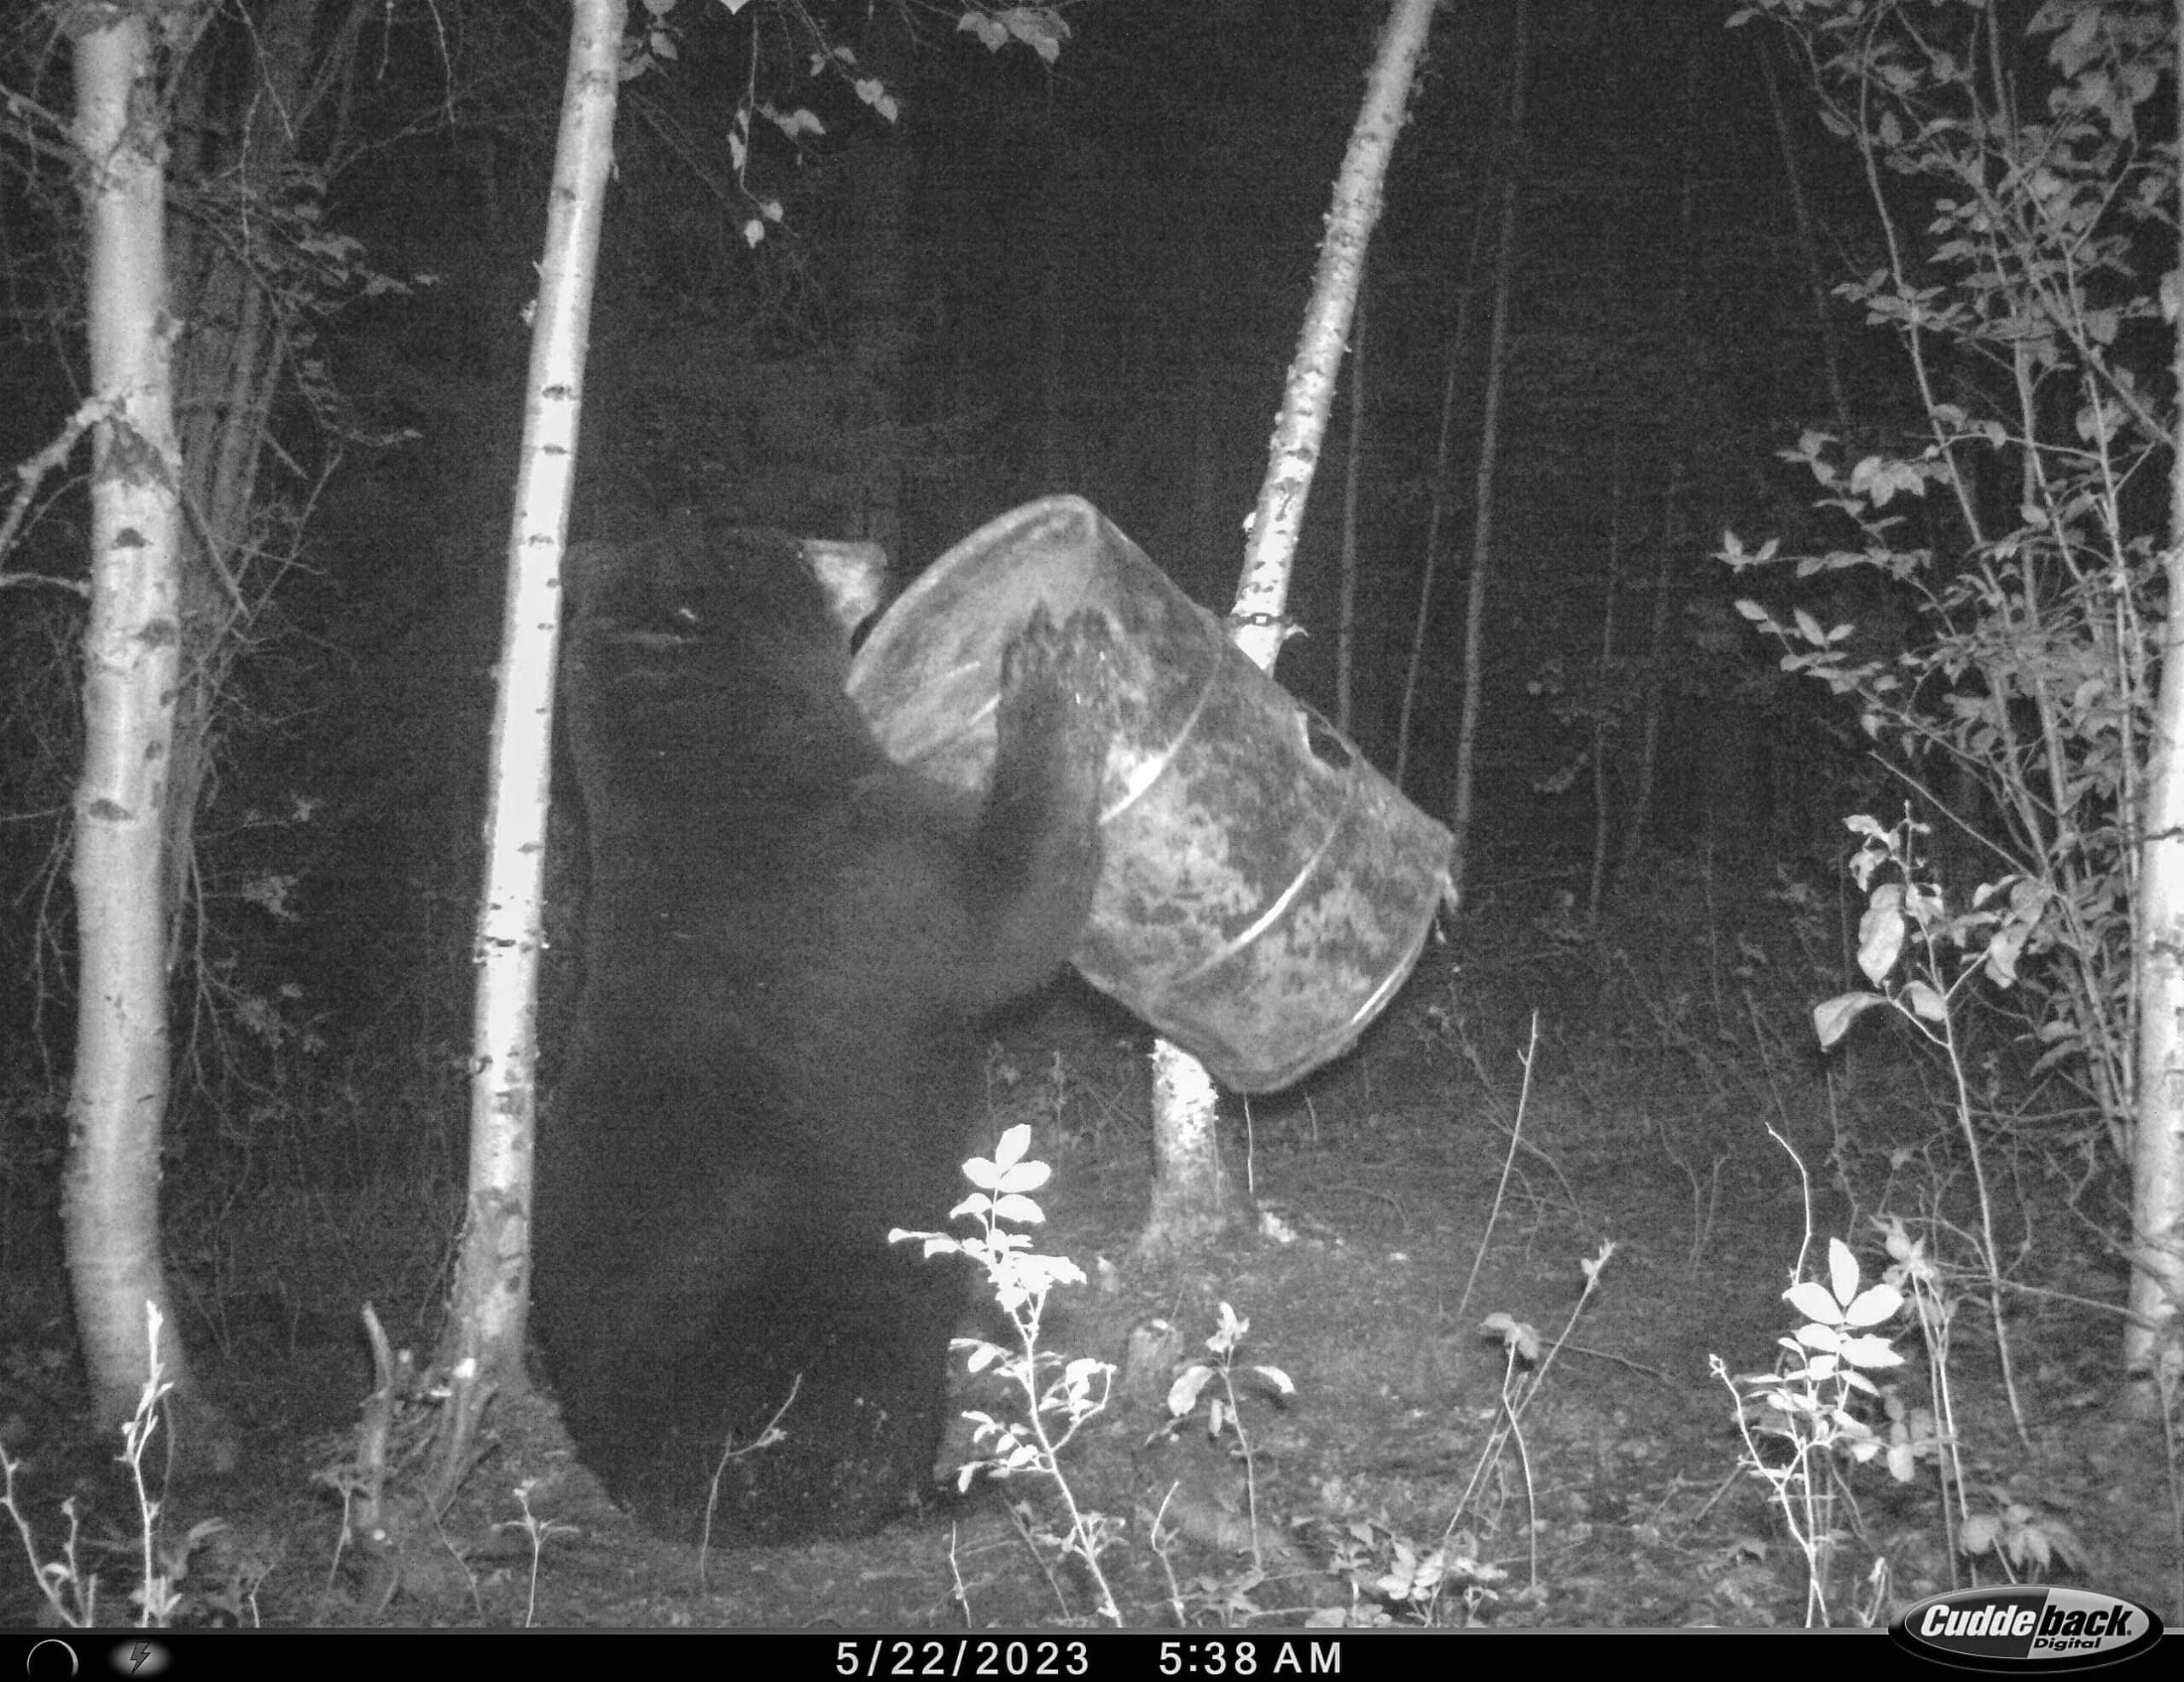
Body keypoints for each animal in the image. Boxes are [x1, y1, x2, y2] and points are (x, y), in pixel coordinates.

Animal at [534, 513, 1116, 1540]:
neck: (714, 767)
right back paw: (929, 1483)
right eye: (794, 547)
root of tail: (646, 1484)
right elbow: (1003, 919)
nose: (879, 550)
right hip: (833, 1310)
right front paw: (1054, 676)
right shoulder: (858, 873)